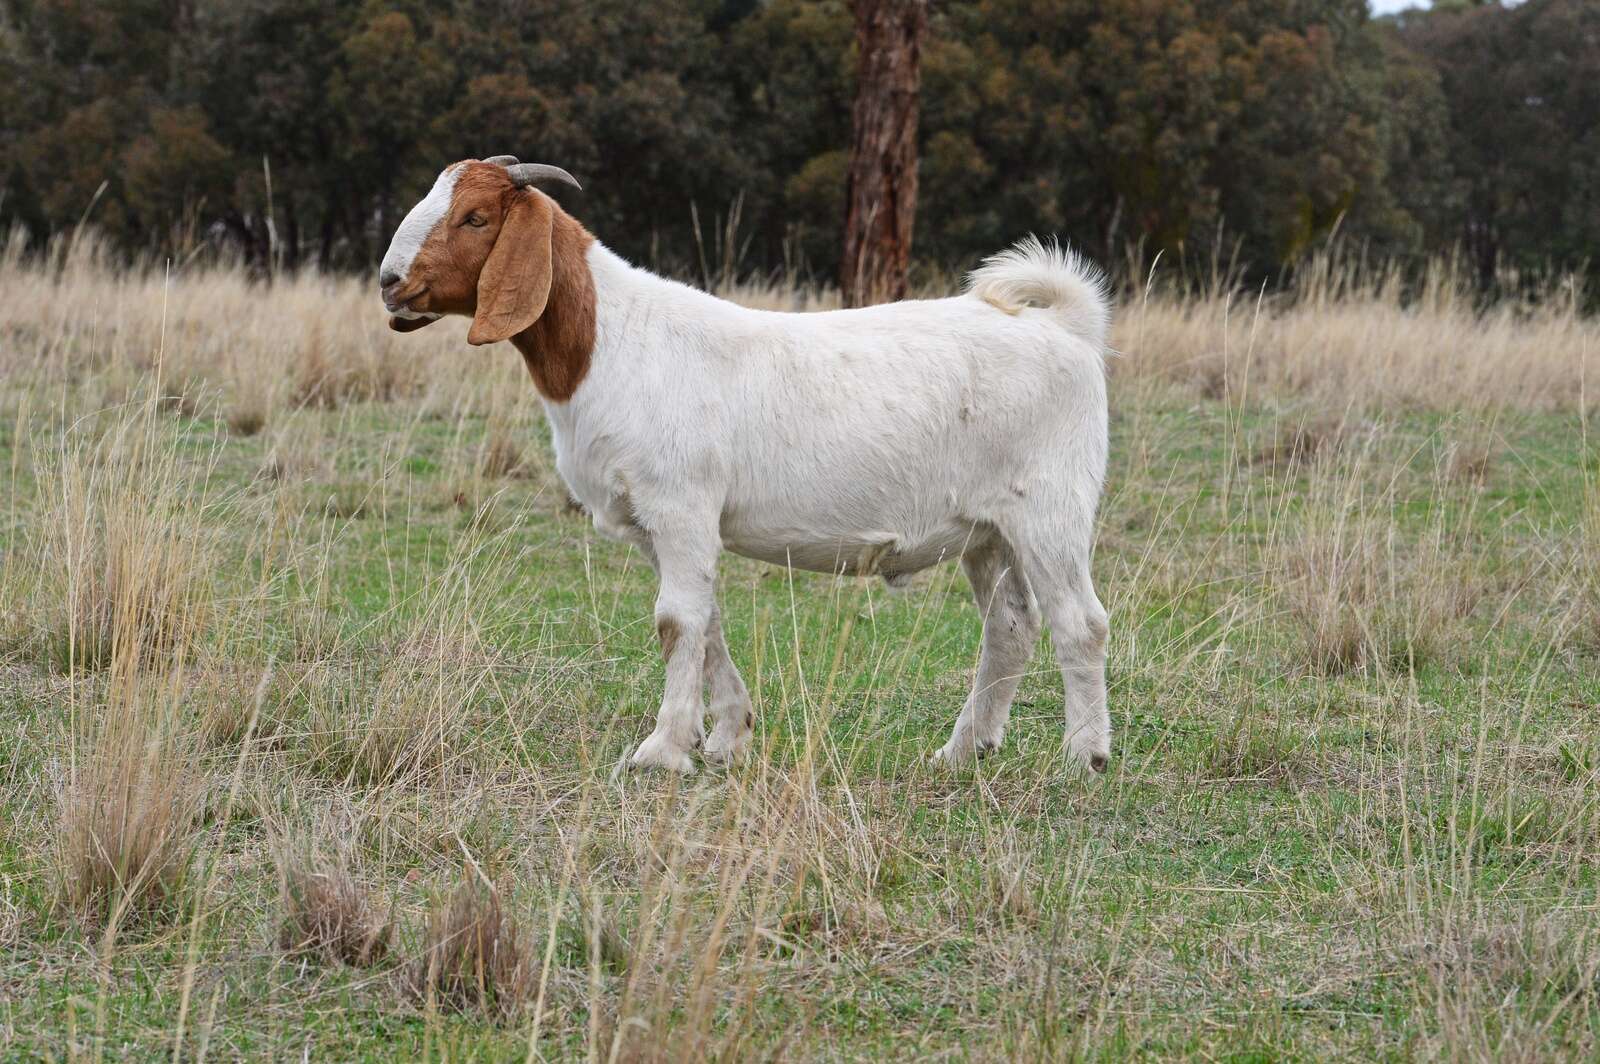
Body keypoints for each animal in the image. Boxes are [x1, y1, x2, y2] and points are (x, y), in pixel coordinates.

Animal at [378, 157, 1112, 774]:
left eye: (476, 217)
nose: (390, 282)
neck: (611, 342)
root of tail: (1062, 328)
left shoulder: (678, 505)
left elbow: (676, 622)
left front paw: (660, 751)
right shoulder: (660, 525)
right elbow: (704, 623)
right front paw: (728, 735)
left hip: (1049, 509)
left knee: (1080, 623)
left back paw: (1084, 757)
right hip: (988, 531)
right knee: (1011, 627)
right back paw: (962, 751)